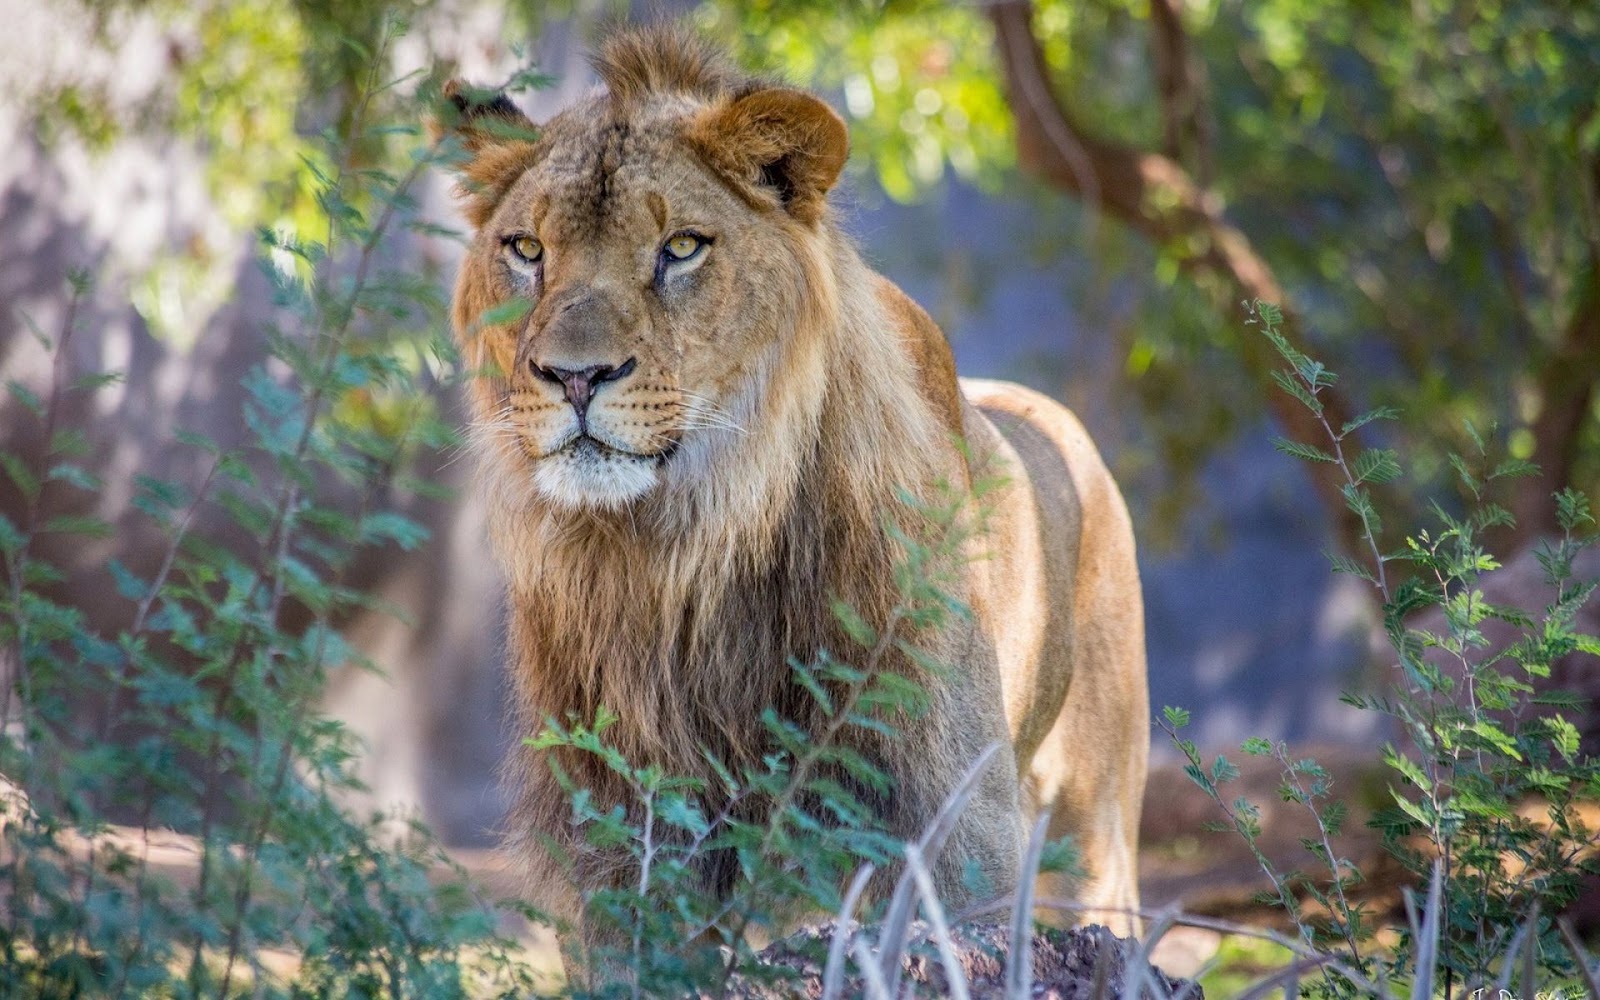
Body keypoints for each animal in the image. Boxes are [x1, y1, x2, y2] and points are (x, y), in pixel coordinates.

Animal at [439, 23, 1148, 957]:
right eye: (526, 251)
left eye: (681, 248)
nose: (574, 376)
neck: (682, 549)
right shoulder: (619, 841)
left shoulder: (953, 825)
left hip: (1093, 822)